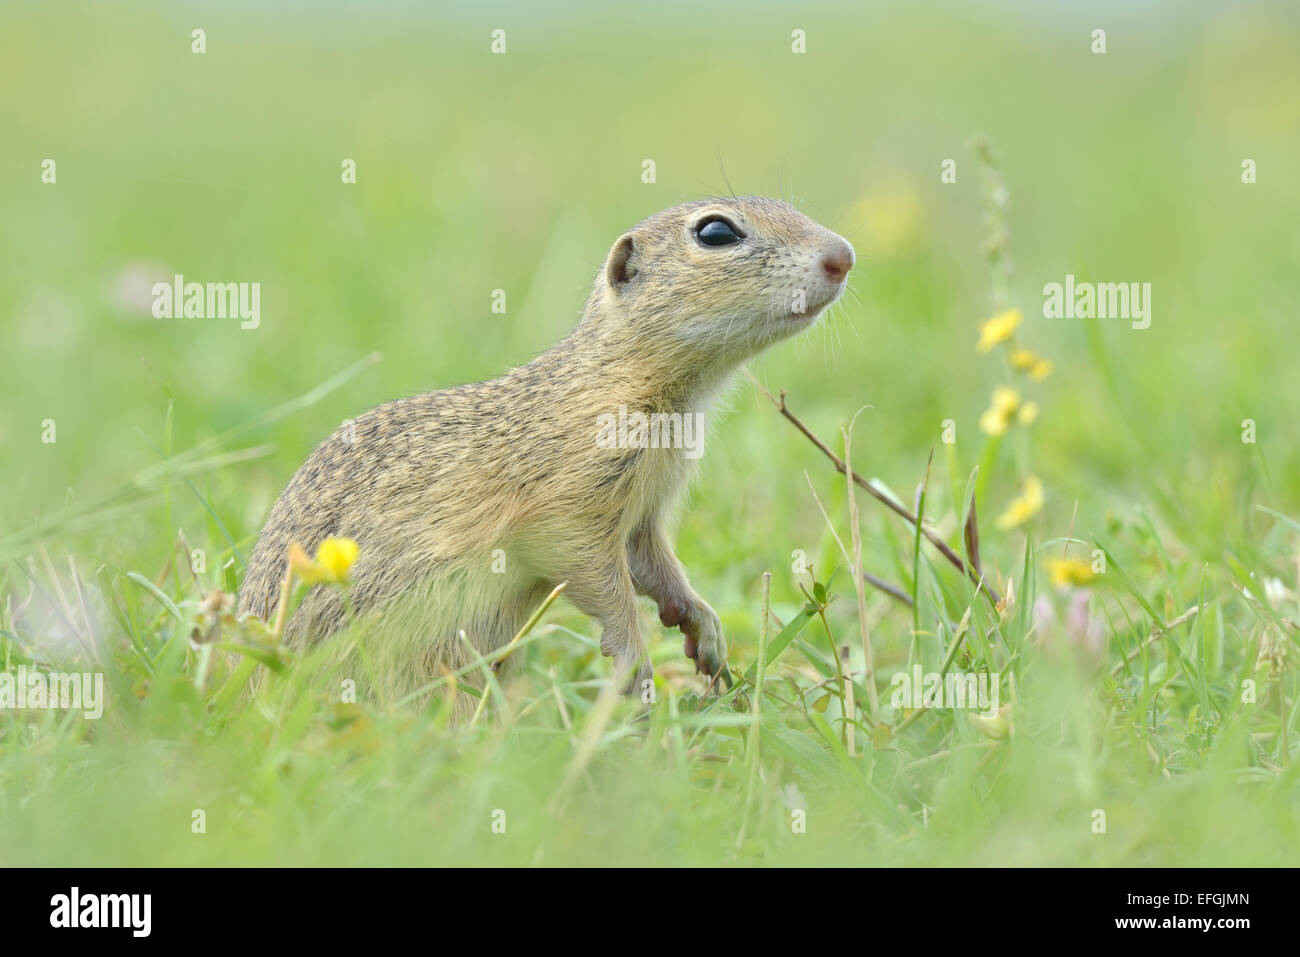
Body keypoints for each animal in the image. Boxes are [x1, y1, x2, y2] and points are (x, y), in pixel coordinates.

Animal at [238, 197, 854, 716]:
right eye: (716, 232)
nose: (844, 256)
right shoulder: (569, 507)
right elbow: (592, 573)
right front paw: (633, 659)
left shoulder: (643, 515)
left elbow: (653, 564)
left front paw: (704, 630)